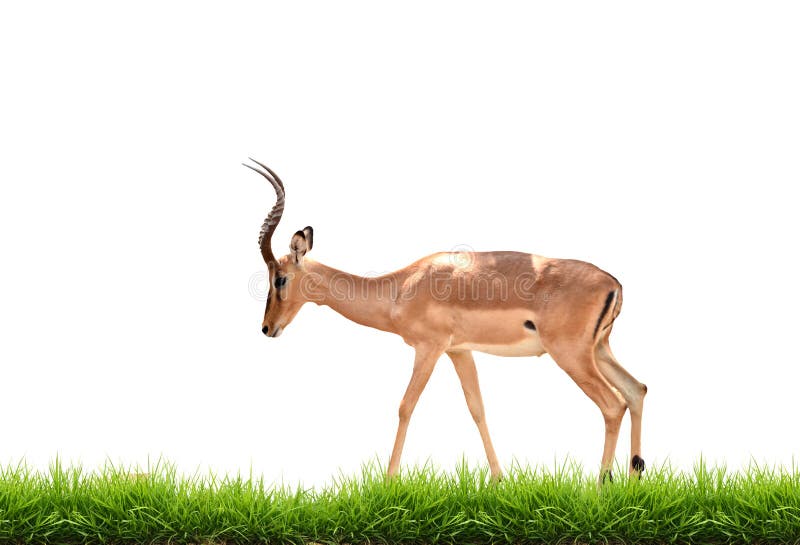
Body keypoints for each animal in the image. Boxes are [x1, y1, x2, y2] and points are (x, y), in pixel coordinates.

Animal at [245, 159, 647, 482]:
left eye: (279, 278)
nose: (266, 328)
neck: (400, 288)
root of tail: (613, 283)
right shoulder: (459, 352)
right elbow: (477, 409)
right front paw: (499, 481)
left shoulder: (429, 348)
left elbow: (405, 406)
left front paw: (388, 483)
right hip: (598, 351)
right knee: (636, 390)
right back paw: (632, 480)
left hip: (572, 356)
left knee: (613, 405)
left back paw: (600, 488)